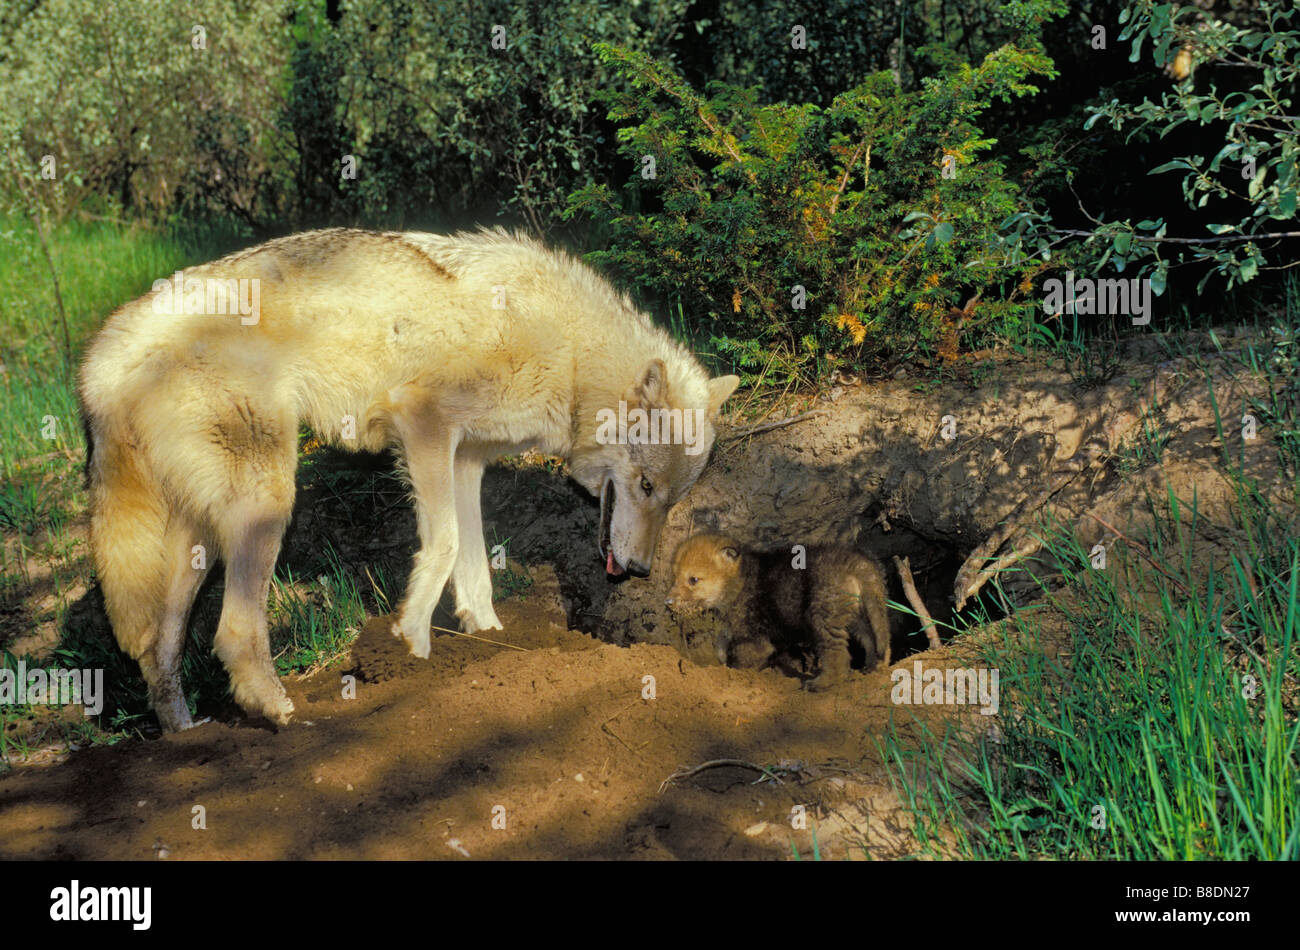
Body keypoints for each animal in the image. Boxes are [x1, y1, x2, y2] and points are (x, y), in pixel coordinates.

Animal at [79, 228, 739, 731]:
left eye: (671, 499)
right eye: (646, 487)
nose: (641, 571)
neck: (571, 354)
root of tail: (106, 350)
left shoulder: (466, 460)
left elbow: (474, 568)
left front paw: (491, 641)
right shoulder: (424, 426)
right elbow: (443, 547)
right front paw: (412, 645)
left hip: (196, 547)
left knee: (158, 646)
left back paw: (187, 736)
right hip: (266, 506)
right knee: (234, 632)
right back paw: (284, 715)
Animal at [666, 533, 891, 690]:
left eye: (693, 580)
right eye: (675, 577)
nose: (668, 602)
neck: (740, 581)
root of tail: (858, 562)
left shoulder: (755, 641)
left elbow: (739, 661)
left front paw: (734, 675)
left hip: (822, 616)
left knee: (838, 654)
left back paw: (821, 684)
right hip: (861, 615)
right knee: (877, 641)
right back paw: (875, 669)